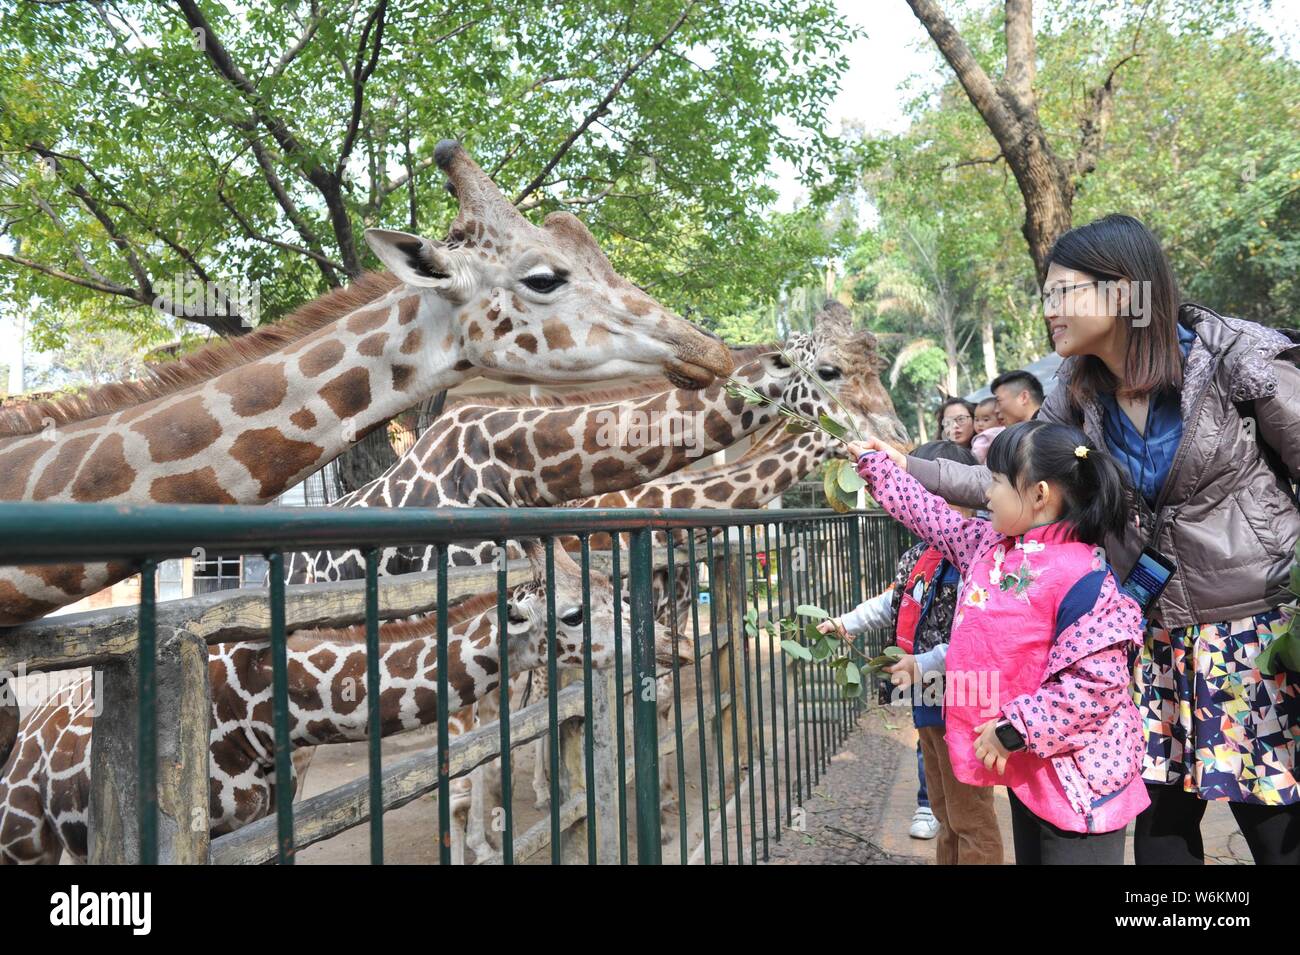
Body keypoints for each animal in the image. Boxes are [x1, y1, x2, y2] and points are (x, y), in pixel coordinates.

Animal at [0, 541, 690, 864]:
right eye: (573, 614)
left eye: (615, 592)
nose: (670, 648)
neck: (259, 719)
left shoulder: (255, 828)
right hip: (26, 842)